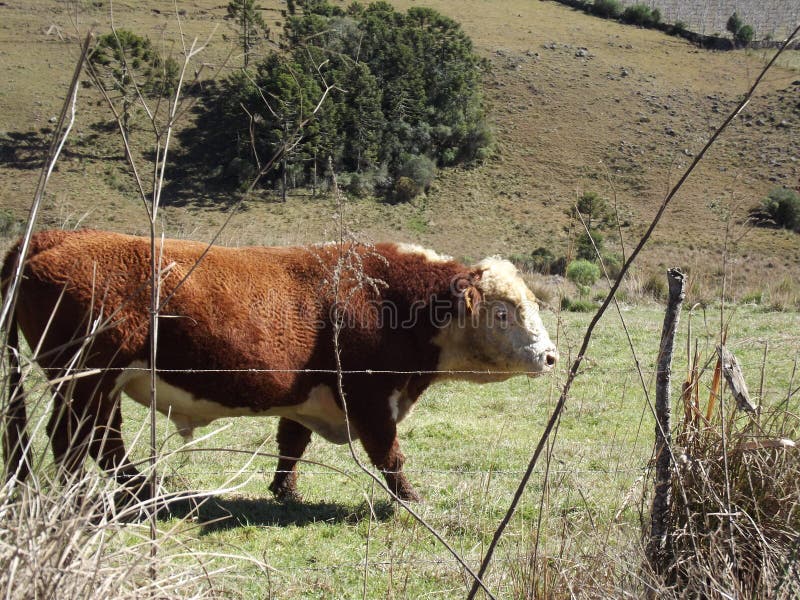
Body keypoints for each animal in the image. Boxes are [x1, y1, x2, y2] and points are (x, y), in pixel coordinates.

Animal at [2, 230, 557, 503]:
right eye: (504, 311)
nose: (550, 356)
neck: (393, 299)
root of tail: (54, 236)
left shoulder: (305, 397)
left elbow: (291, 444)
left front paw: (284, 491)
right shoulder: (370, 398)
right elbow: (389, 454)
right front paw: (410, 499)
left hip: (94, 384)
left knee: (97, 440)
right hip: (87, 379)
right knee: (81, 439)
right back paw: (102, 497)